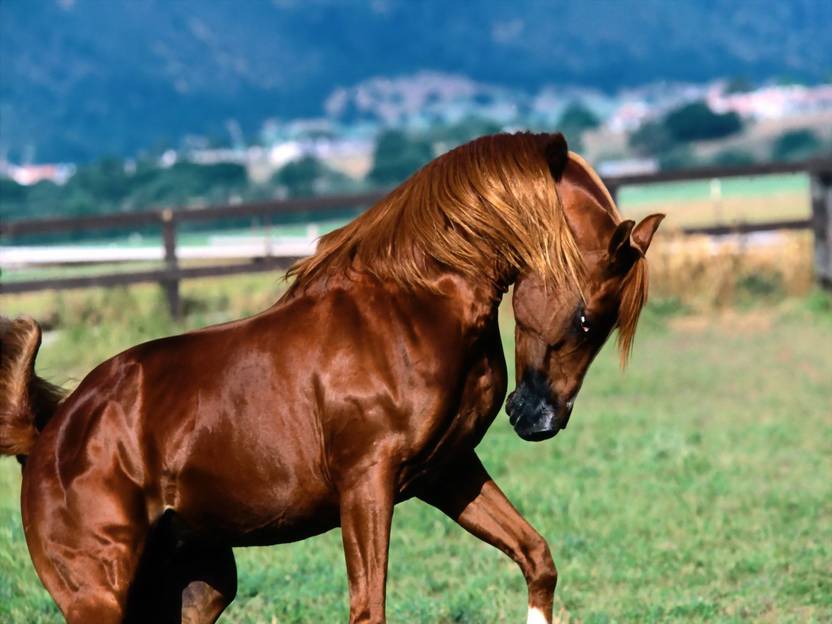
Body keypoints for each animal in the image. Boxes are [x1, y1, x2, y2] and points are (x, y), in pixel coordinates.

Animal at [0, 132, 663, 624]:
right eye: (587, 317)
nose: (538, 419)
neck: (413, 306)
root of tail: (48, 435)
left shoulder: (447, 472)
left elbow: (536, 556)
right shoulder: (366, 483)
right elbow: (369, 608)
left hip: (199, 584)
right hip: (100, 596)